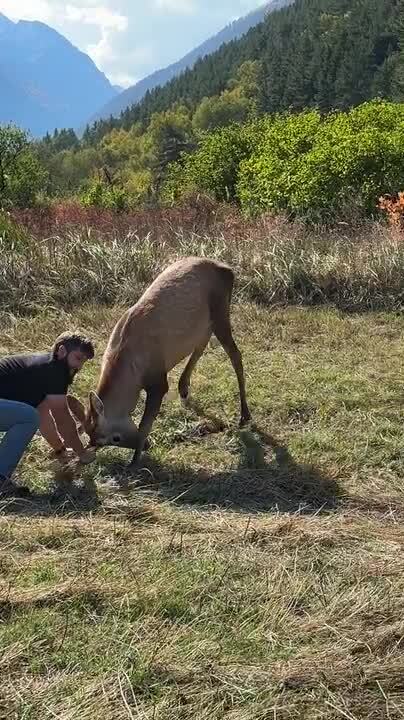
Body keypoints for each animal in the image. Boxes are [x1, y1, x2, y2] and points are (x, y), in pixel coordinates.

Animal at [85, 256, 251, 467]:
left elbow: (144, 424)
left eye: (116, 438)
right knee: (201, 344)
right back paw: (184, 388)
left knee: (235, 354)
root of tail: (228, 270)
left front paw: (134, 462)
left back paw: (244, 415)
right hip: (204, 321)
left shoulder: (158, 381)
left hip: (221, 310)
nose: (146, 446)